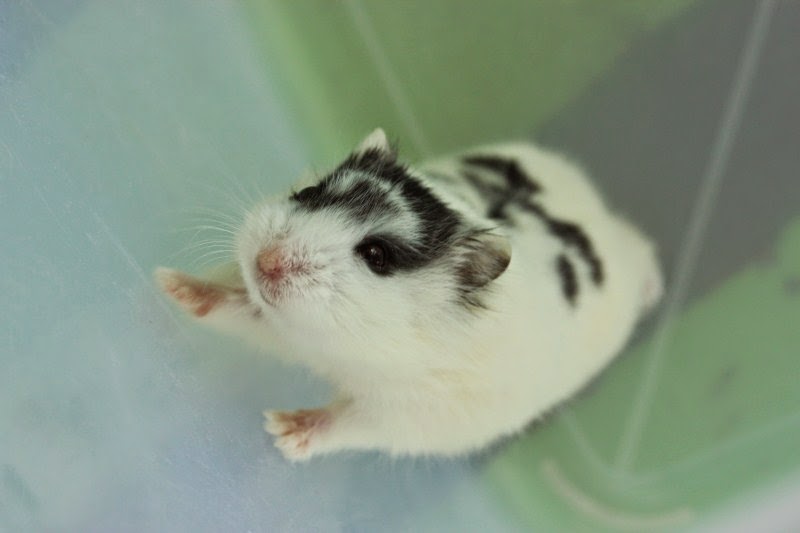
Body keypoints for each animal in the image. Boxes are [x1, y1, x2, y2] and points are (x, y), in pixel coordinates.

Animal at [155, 128, 663, 462]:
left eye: (377, 255)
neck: (350, 343)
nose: (265, 261)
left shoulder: (417, 416)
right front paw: (170, 285)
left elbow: (350, 424)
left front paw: (281, 432)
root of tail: (603, 212)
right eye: (308, 192)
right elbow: (235, 306)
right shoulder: (282, 324)